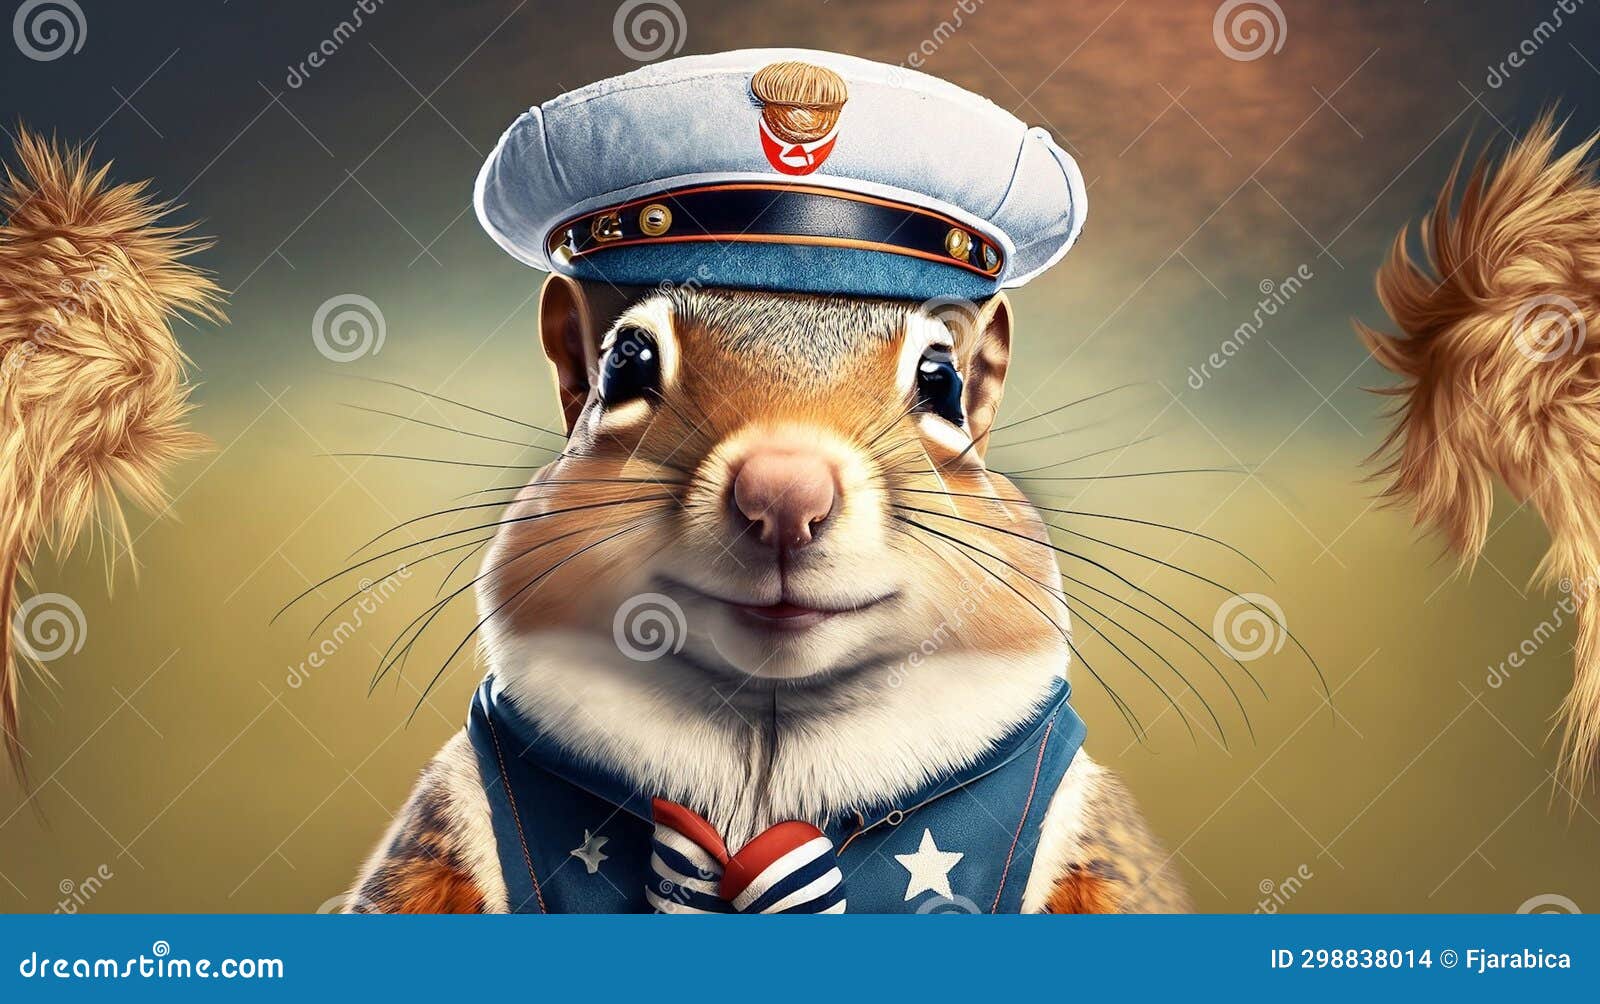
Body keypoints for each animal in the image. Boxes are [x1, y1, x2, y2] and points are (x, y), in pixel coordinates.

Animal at [347, 275, 1191, 913]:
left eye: (941, 380)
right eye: (627, 362)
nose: (785, 492)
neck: (764, 754)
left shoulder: (1096, 845)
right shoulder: (443, 832)